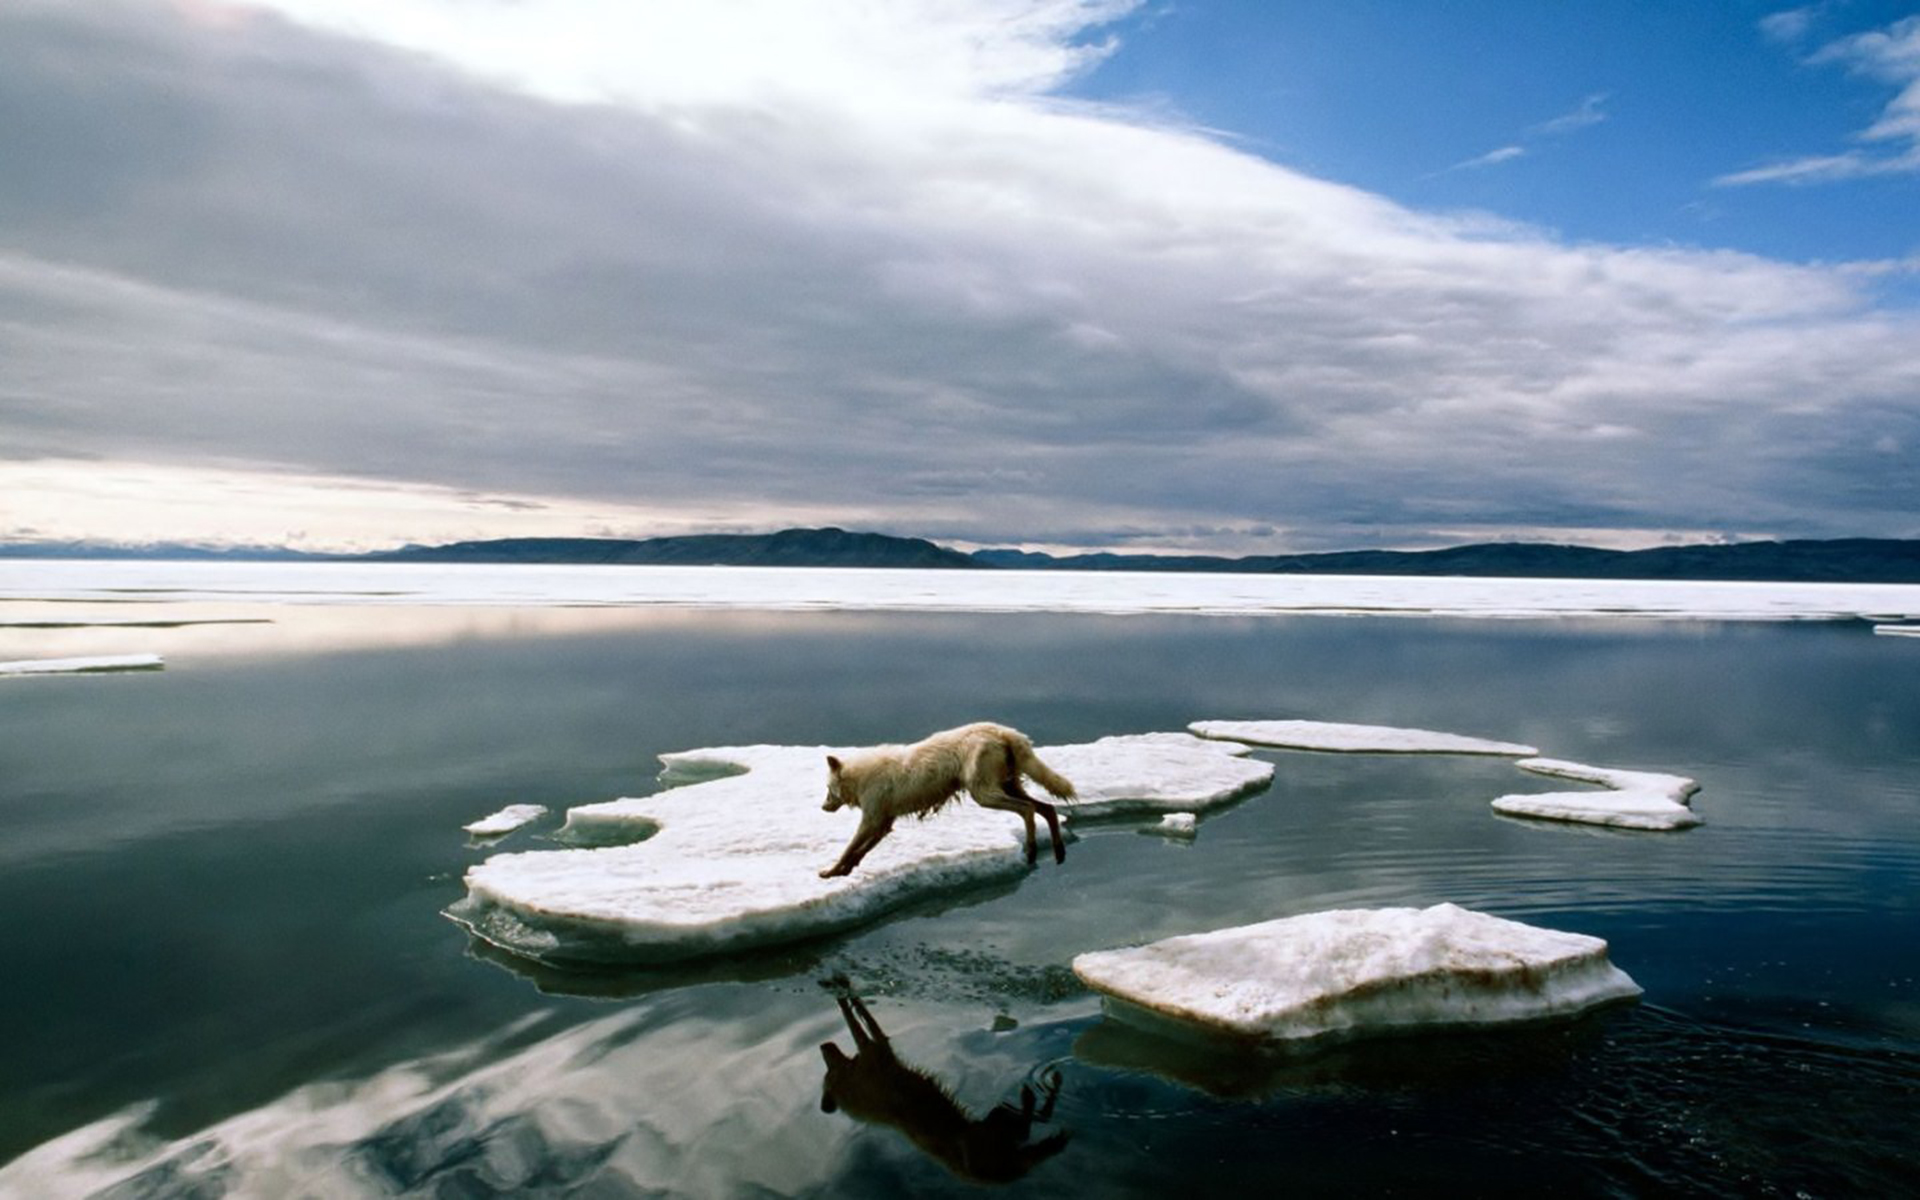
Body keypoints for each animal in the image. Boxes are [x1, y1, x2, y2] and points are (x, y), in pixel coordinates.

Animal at [819, 721, 1075, 878]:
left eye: (828, 789)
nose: (823, 807)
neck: (859, 777)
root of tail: (1001, 731)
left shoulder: (872, 820)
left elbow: (849, 848)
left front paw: (830, 872)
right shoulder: (884, 823)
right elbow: (859, 851)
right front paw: (844, 871)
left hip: (984, 794)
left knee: (1028, 809)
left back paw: (1032, 851)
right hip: (1007, 787)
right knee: (1048, 808)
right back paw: (1058, 851)